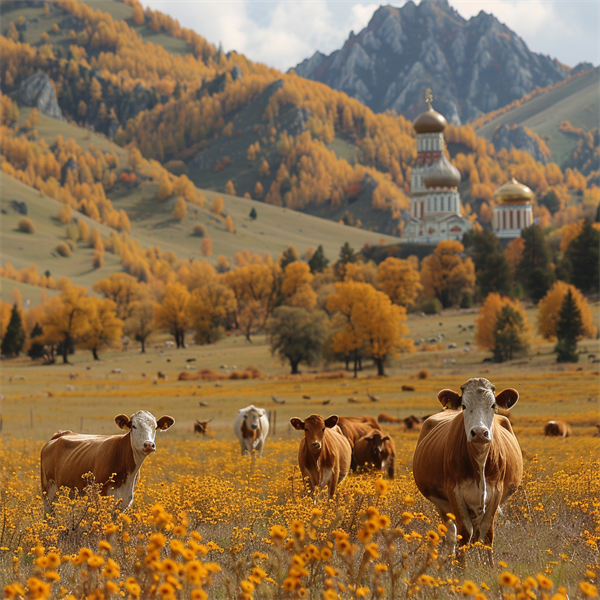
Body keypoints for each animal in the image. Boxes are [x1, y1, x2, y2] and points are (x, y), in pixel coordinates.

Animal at [39, 410, 173, 512]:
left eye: (155, 427)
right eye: (133, 426)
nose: (149, 445)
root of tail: (60, 434)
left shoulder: (124, 502)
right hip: (47, 493)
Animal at [412, 378, 520, 560]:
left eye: (492, 405)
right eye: (463, 405)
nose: (479, 432)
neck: (479, 463)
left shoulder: (496, 492)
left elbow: (487, 533)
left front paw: (487, 564)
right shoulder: (455, 493)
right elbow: (464, 533)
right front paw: (460, 566)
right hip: (443, 506)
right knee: (452, 534)